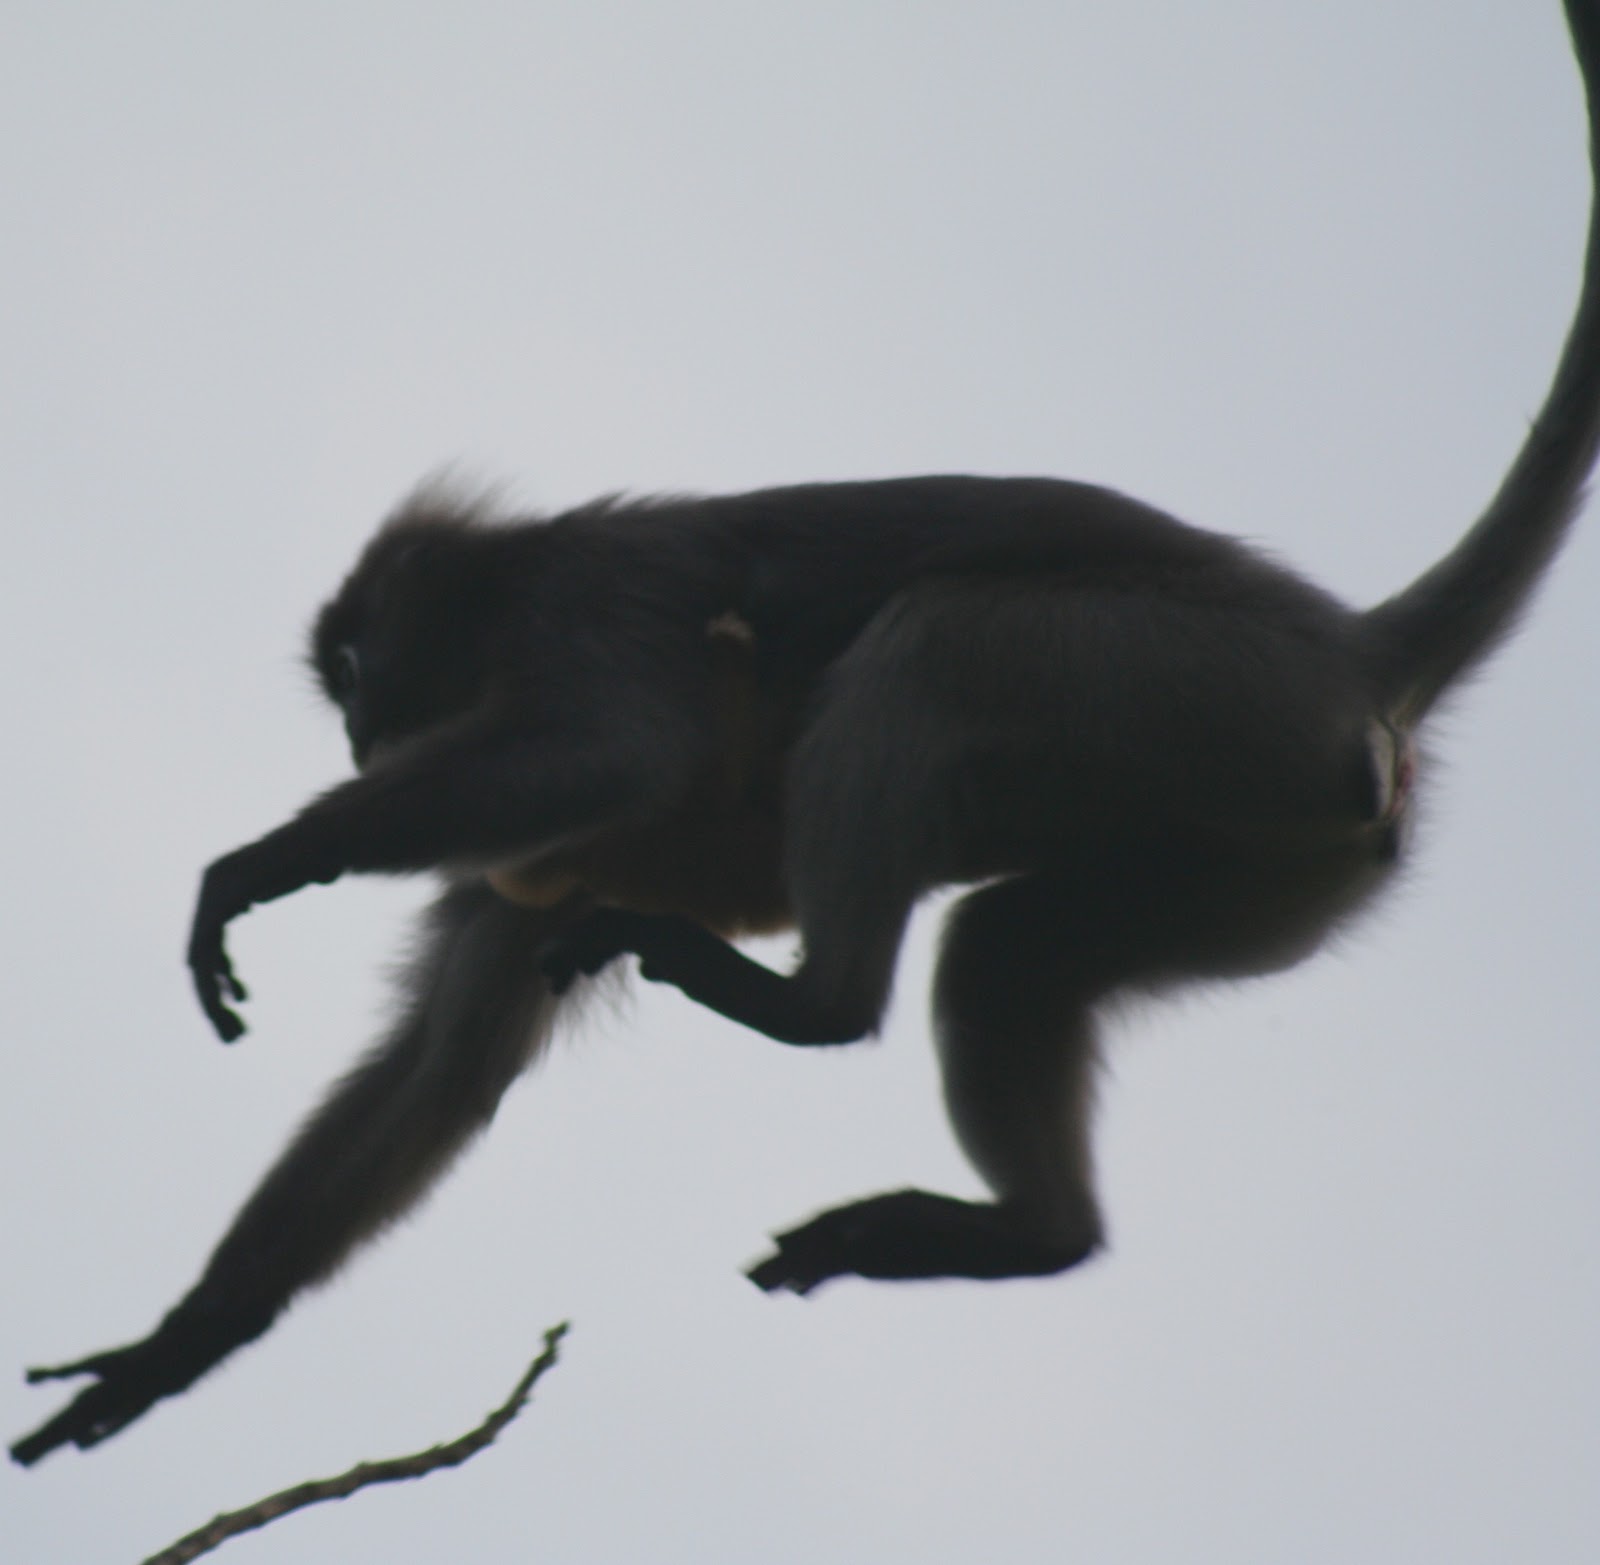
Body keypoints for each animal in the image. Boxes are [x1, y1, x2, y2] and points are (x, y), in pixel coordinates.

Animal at [12, 0, 1600, 1467]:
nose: (353, 737)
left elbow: (622, 753)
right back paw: (1033, 1231)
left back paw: (813, 1004)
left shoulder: (589, 603)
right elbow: (442, 1067)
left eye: (353, 668)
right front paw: (185, 1337)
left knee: (934, 649)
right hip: (1276, 848)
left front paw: (263, 865)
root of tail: (1350, 646)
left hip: (1197, 685)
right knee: (1011, 942)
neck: (512, 596)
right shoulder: (511, 845)